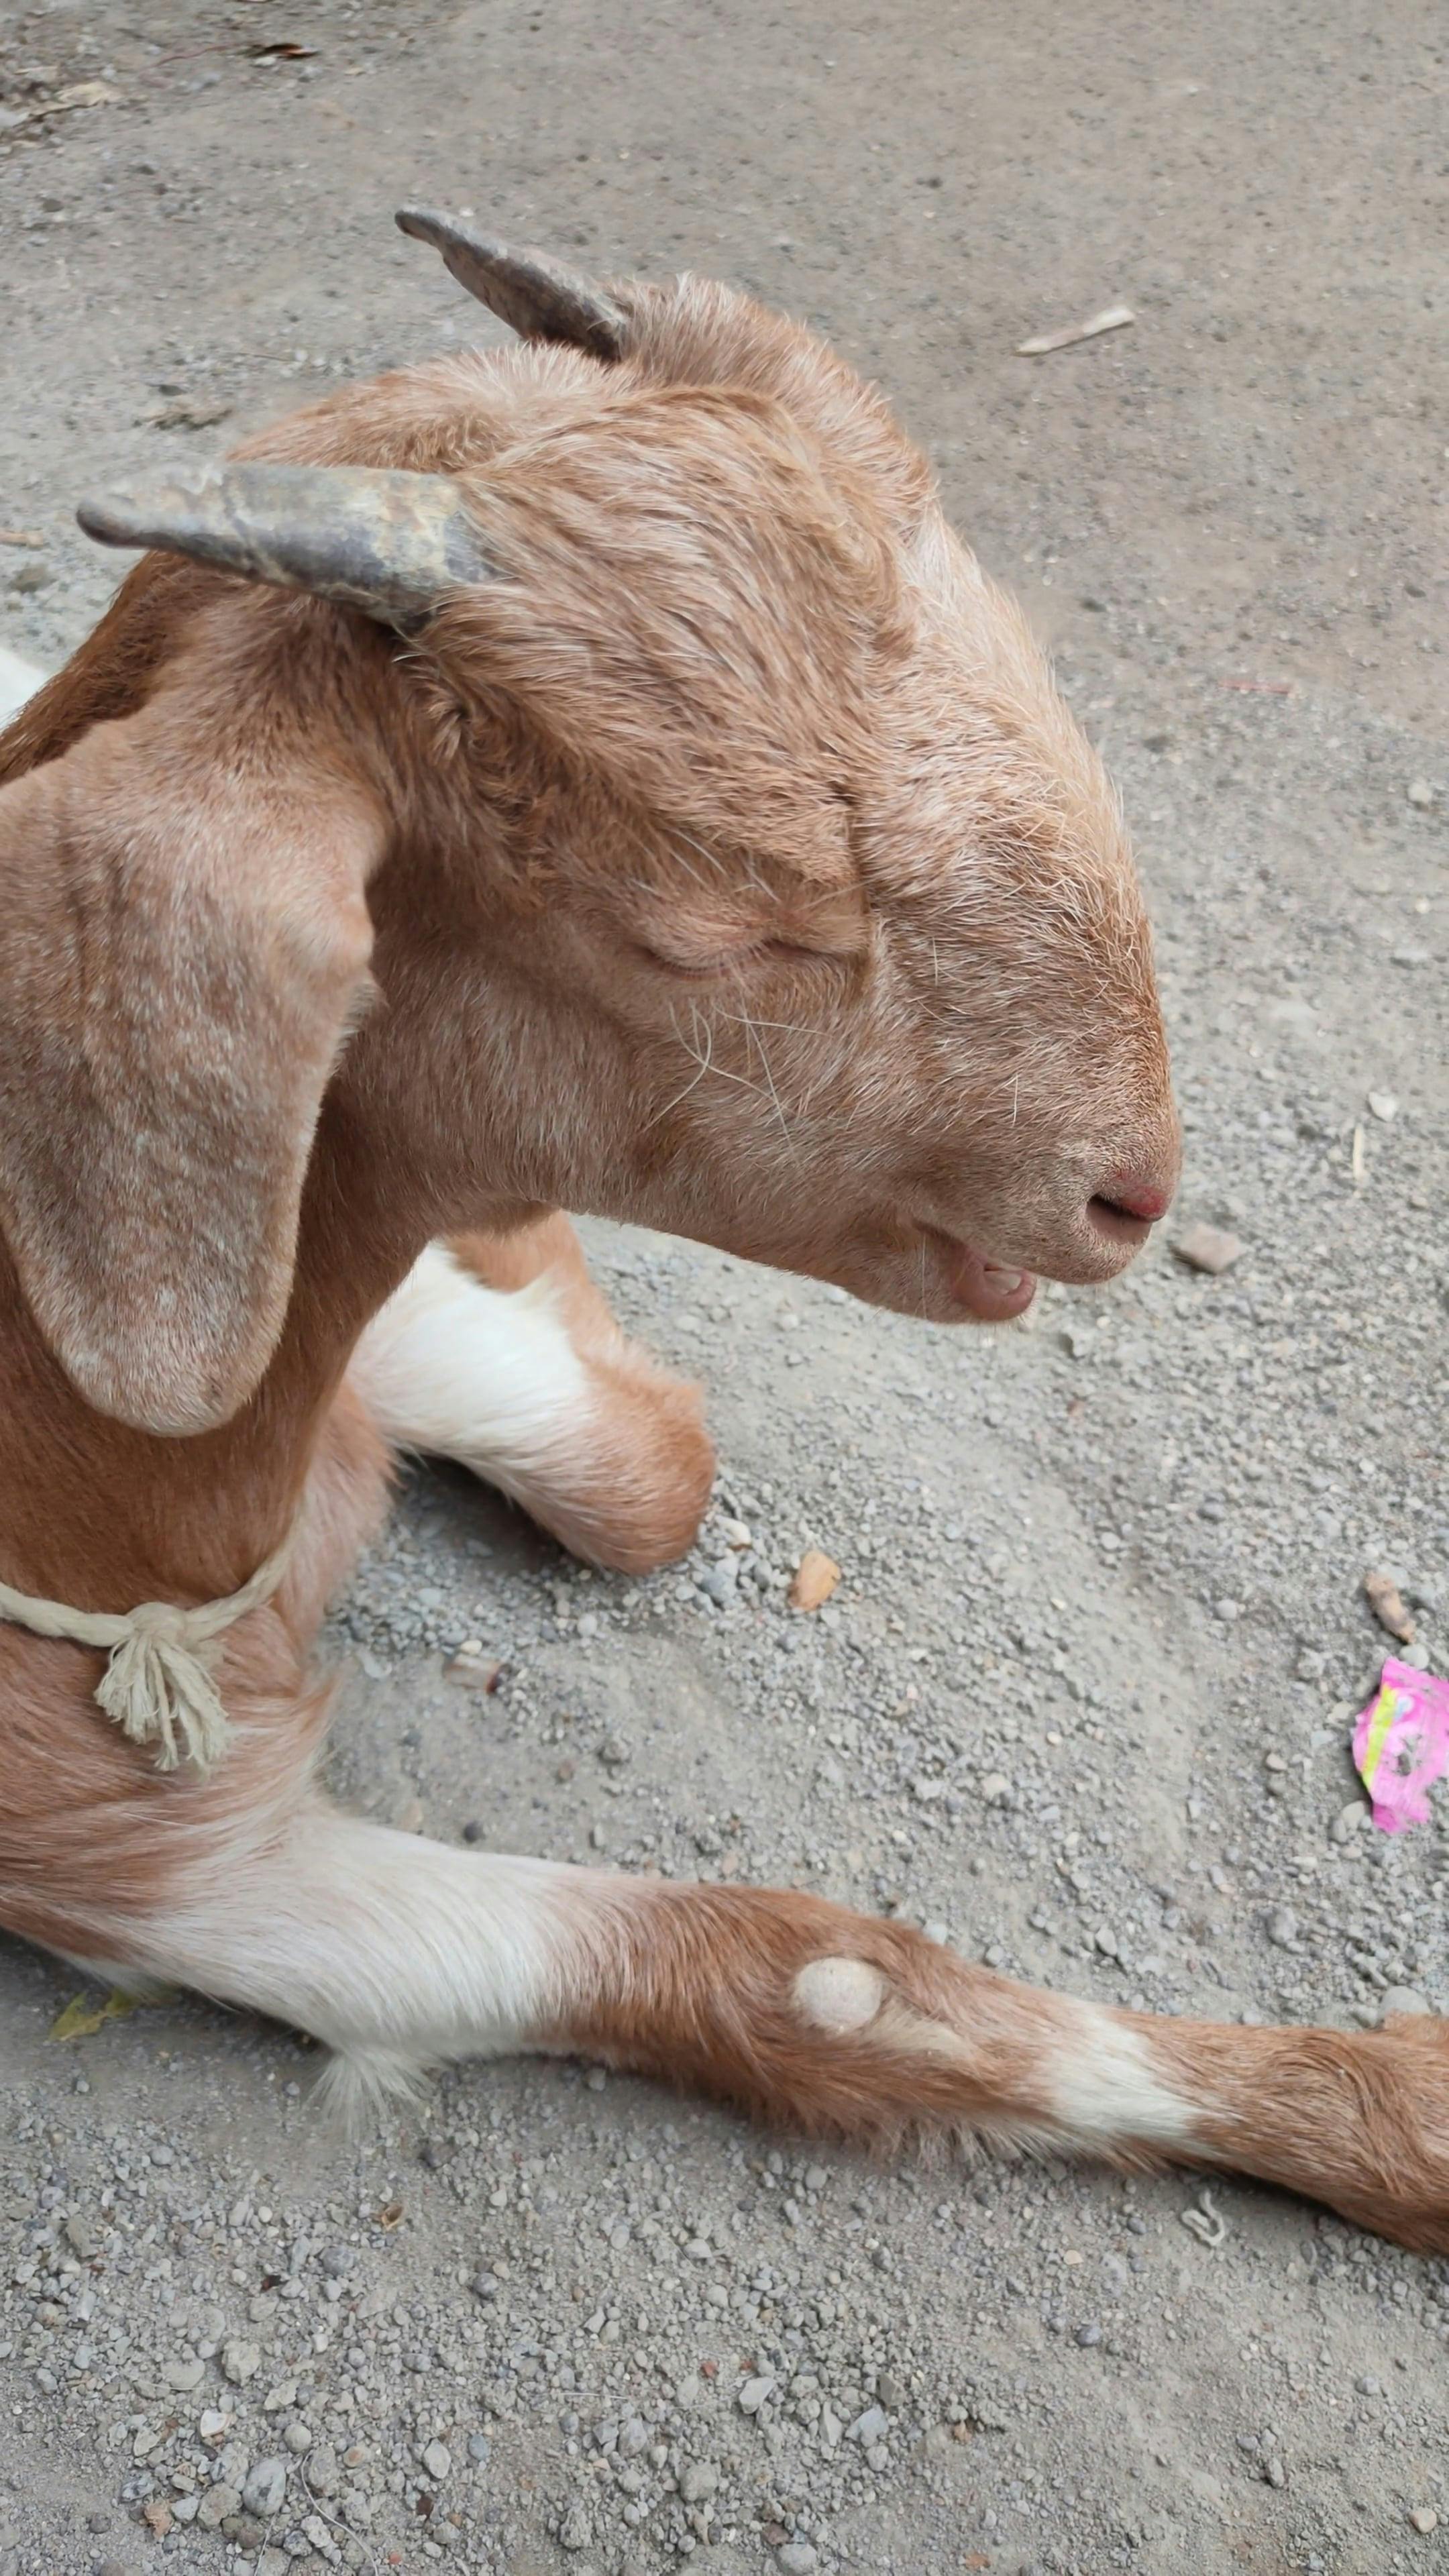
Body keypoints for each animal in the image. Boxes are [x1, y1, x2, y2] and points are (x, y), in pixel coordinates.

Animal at [1, 213, 1445, 2250]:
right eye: (716, 929)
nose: (1130, 1190)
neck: (96, 1491)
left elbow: (644, 1466)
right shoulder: (139, 1857)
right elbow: (807, 1979)